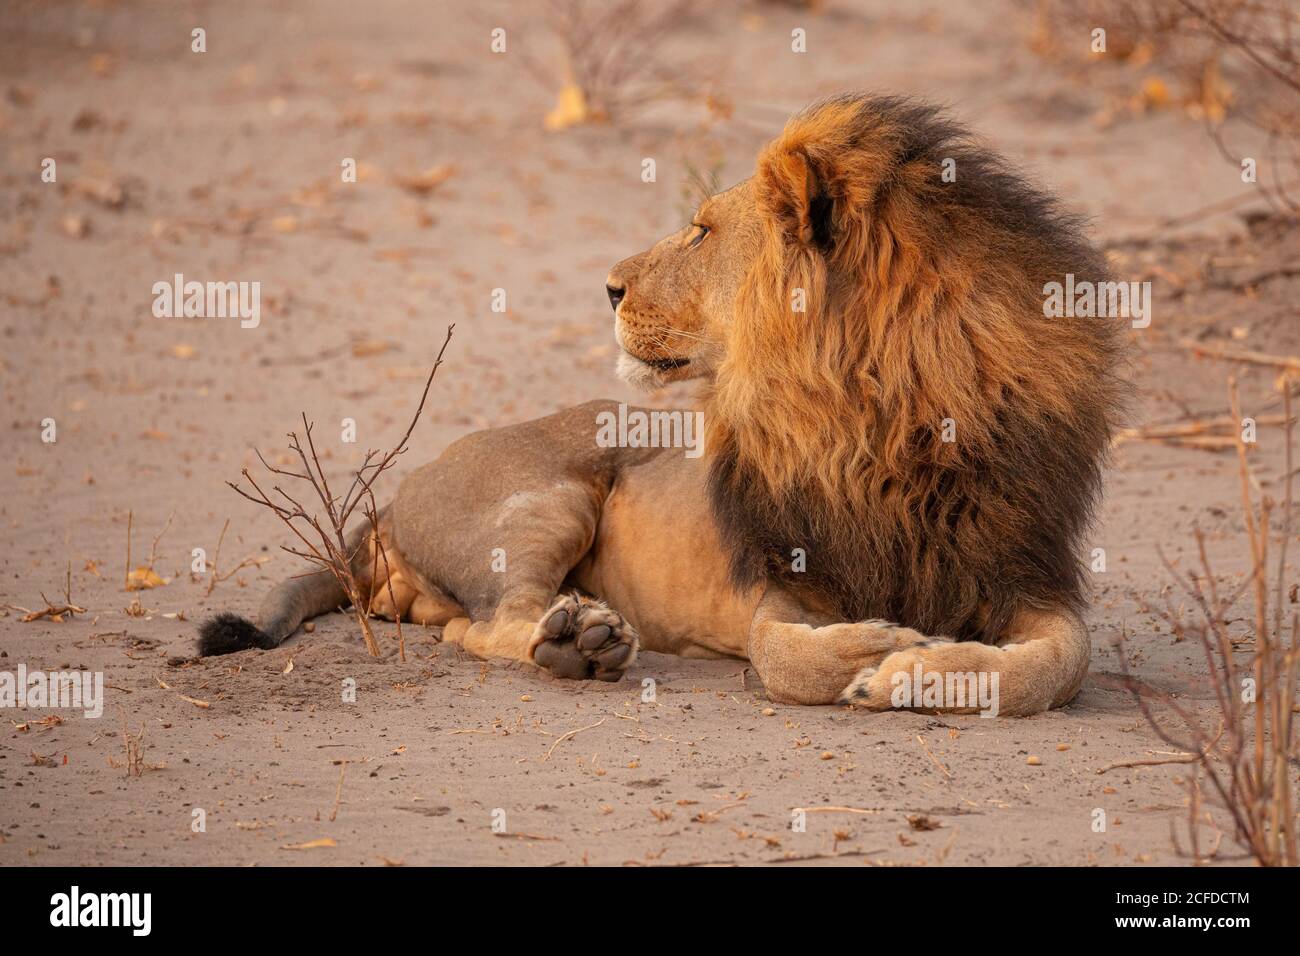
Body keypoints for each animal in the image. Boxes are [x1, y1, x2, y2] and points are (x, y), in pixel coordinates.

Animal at [199, 94, 1126, 716]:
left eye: (703, 231)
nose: (608, 286)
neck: (879, 414)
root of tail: (388, 502)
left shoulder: (1020, 569)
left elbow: (1060, 665)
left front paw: (921, 672)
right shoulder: (783, 580)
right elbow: (782, 656)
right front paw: (885, 649)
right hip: (544, 499)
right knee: (492, 625)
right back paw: (580, 643)